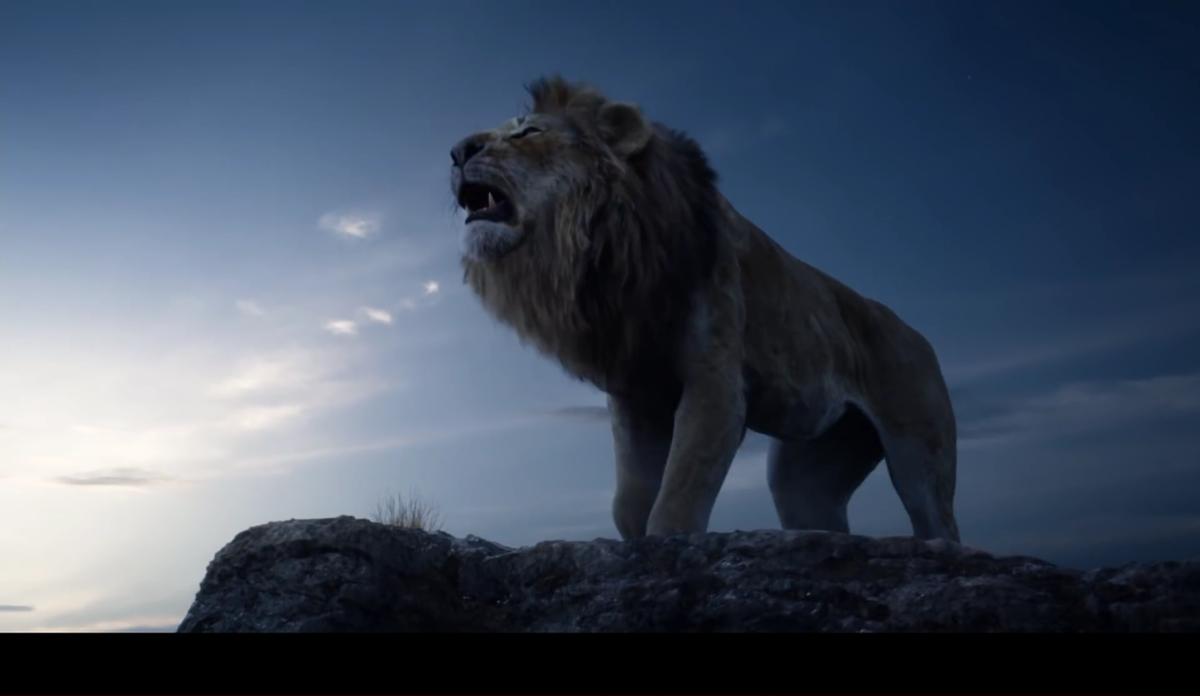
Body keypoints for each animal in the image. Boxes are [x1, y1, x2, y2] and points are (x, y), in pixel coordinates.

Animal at [450, 76, 960, 542]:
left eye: (528, 132)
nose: (456, 151)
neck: (607, 248)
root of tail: (919, 336)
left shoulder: (715, 383)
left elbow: (678, 494)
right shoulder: (635, 396)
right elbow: (630, 502)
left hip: (919, 451)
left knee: (937, 523)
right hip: (808, 472)